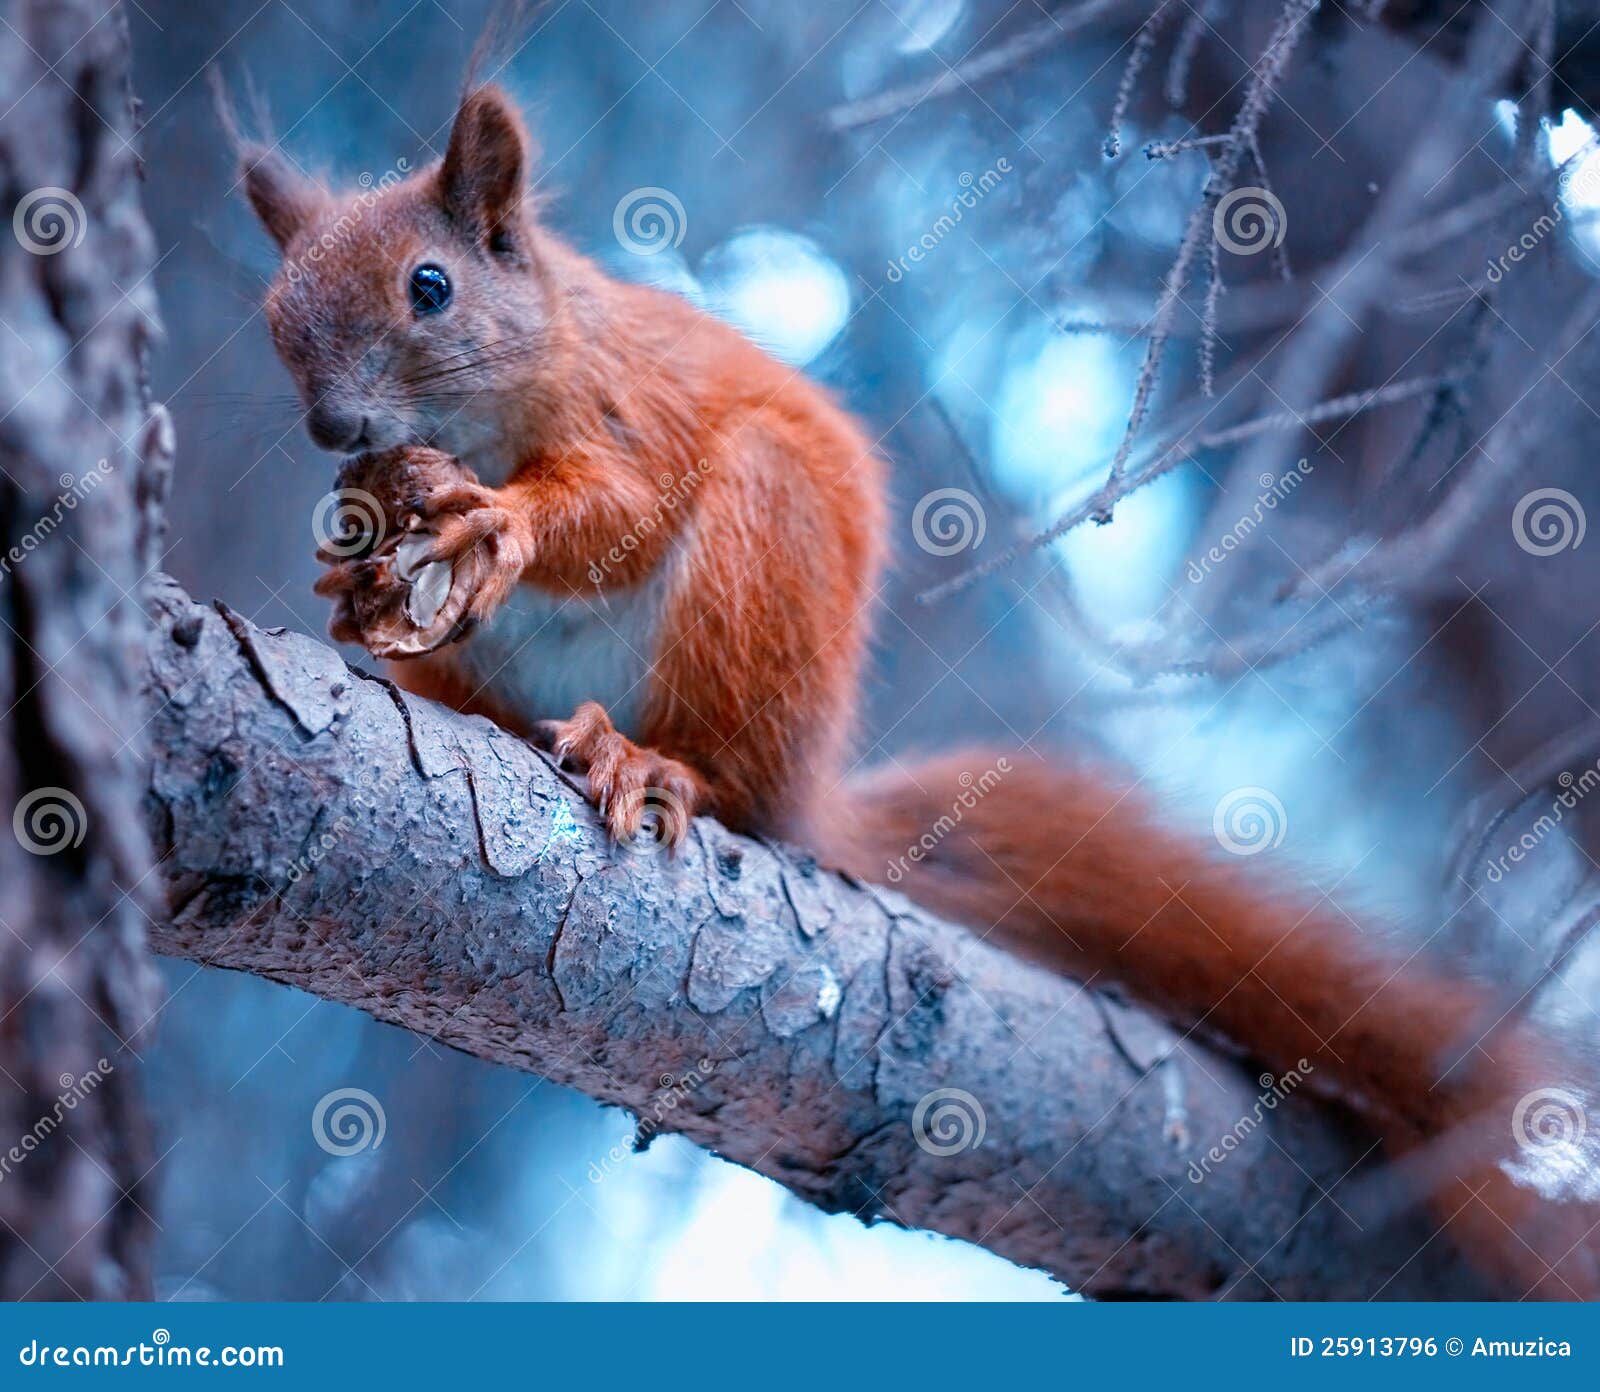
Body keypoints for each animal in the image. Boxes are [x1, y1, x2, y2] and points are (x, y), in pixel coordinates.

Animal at [233, 81, 1598, 1298]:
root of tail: (809, 791)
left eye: (430, 286)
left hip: (763, 549)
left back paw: (652, 762)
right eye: (274, 313)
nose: (331, 428)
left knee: (724, 770)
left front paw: (500, 524)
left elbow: (616, 512)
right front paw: (349, 554)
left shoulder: (629, 410)